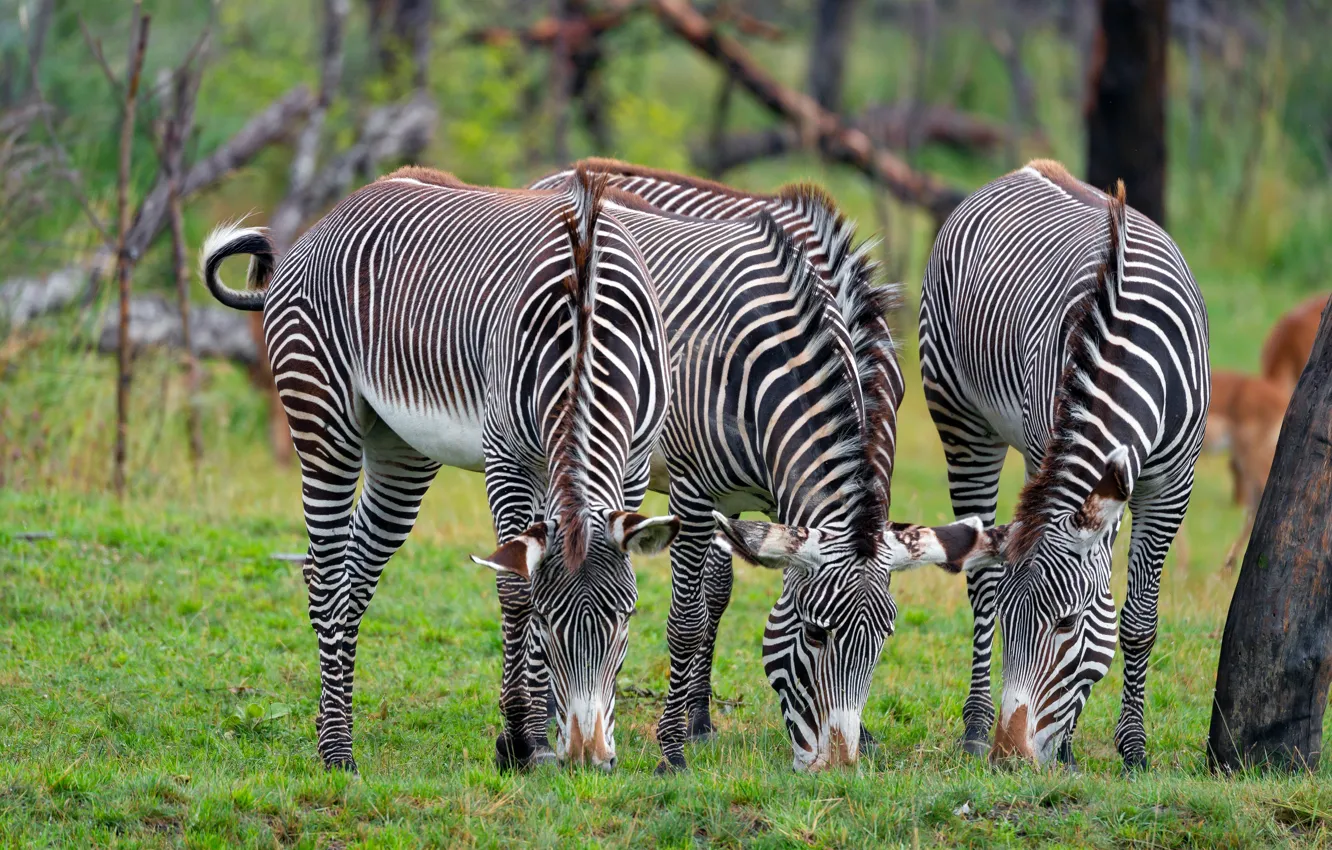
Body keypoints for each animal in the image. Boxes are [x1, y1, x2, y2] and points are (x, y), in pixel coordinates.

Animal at [198, 167, 678, 772]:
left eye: (626, 622)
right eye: (548, 623)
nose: (589, 758)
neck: (586, 319)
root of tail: (331, 217)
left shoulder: (629, 465)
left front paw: (537, 740)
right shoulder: (508, 457)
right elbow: (514, 588)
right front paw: (520, 740)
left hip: (402, 450)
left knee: (355, 573)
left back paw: (330, 725)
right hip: (321, 416)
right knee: (326, 573)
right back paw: (337, 752)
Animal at [532, 171, 998, 772]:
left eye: (883, 641)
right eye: (815, 635)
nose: (838, 769)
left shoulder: (773, 498)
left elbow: (717, 596)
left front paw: (700, 724)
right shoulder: (693, 490)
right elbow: (686, 620)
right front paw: (671, 749)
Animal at [919, 160, 1208, 769]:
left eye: (1068, 624)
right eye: (1012, 623)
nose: (1009, 758)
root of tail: (1023, 169)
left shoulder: (1172, 485)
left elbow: (1139, 619)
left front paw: (1133, 751)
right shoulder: (1044, 449)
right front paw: (1070, 749)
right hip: (963, 425)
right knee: (981, 580)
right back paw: (975, 725)